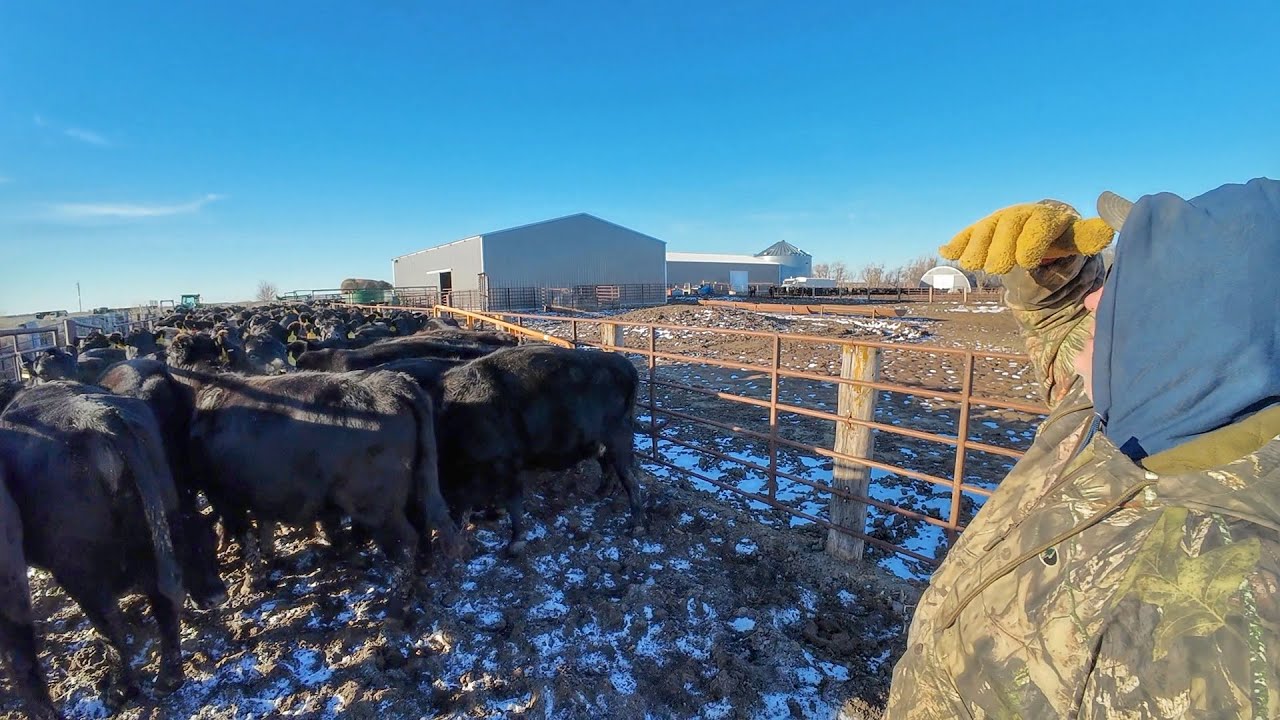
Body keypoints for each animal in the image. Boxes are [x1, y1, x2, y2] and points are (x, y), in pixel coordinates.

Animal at [0, 382, 226, 711]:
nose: (216, 595)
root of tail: (101, 418)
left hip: (77, 574)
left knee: (106, 625)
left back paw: (120, 689)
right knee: (165, 600)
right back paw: (168, 679)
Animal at [435, 345, 644, 554]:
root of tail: (628, 367)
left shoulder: (509, 464)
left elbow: (513, 500)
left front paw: (514, 545)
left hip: (620, 439)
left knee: (630, 478)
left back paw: (634, 527)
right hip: (600, 442)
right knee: (607, 465)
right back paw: (597, 495)